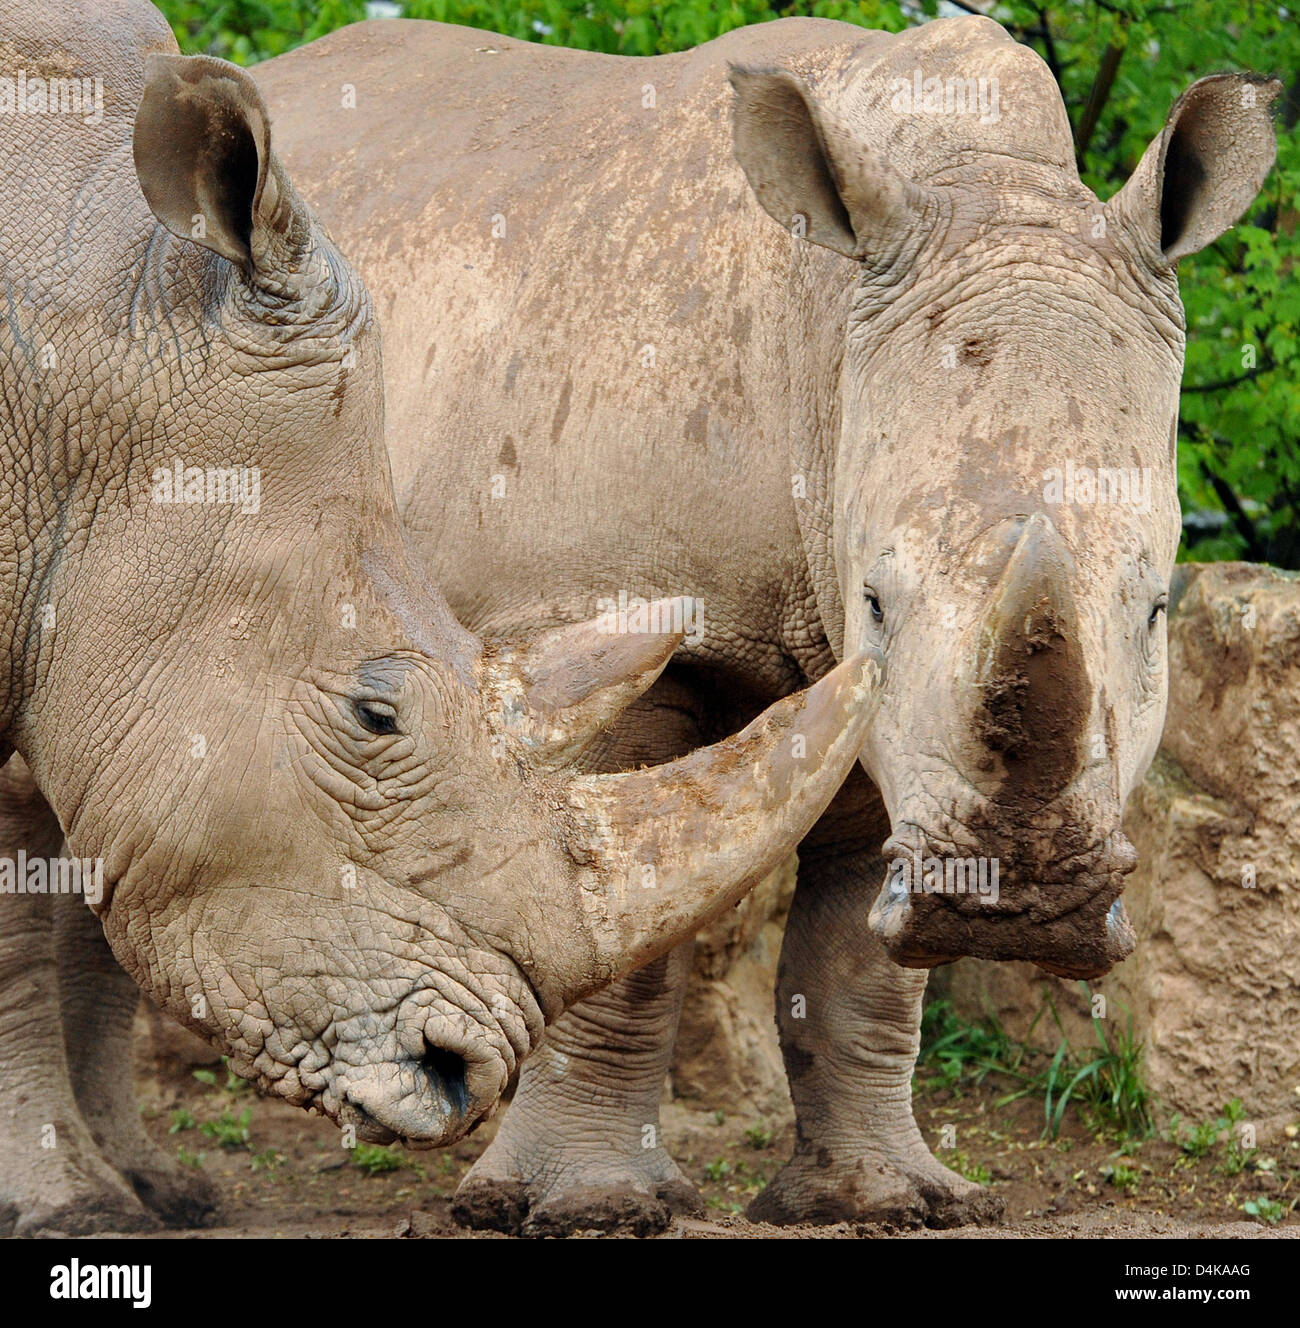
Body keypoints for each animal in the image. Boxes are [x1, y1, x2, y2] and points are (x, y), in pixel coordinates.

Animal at [252, 15, 1279, 1232]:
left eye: (1158, 607)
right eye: (880, 600)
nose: (1017, 905)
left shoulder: (863, 684)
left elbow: (854, 962)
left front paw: (881, 1200)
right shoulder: (604, 624)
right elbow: (619, 928)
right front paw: (587, 1206)